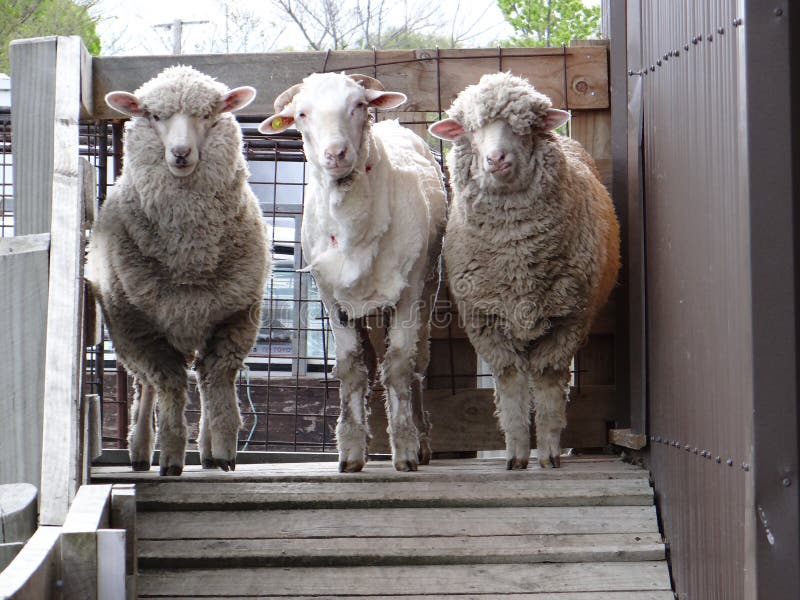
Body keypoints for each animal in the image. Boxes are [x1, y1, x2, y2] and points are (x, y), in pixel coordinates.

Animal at [86, 66, 270, 476]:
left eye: (209, 114)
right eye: (154, 115)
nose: (181, 154)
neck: (190, 256)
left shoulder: (235, 318)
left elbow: (218, 382)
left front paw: (225, 448)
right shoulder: (140, 330)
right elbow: (169, 387)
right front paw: (170, 455)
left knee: (201, 379)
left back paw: (207, 451)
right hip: (134, 334)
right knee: (146, 387)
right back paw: (140, 450)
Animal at [258, 72, 447, 472]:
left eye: (359, 105)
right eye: (301, 114)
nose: (335, 154)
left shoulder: (409, 294)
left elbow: (400, 366)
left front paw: (406, 447)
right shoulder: (332, 300)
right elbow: (351, 368)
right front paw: (350, 450)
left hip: (428, 284)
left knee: (416, 362)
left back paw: (422, 440)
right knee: (372, 360)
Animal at [429, 72, 620, 470]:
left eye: (526, 127)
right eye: (471, 129)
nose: (495, 158)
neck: (516, 255)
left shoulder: (567, 321)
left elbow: (546, 386)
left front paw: (548, 453)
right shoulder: (487, 323)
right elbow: (512, 384)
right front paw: (516, 454)